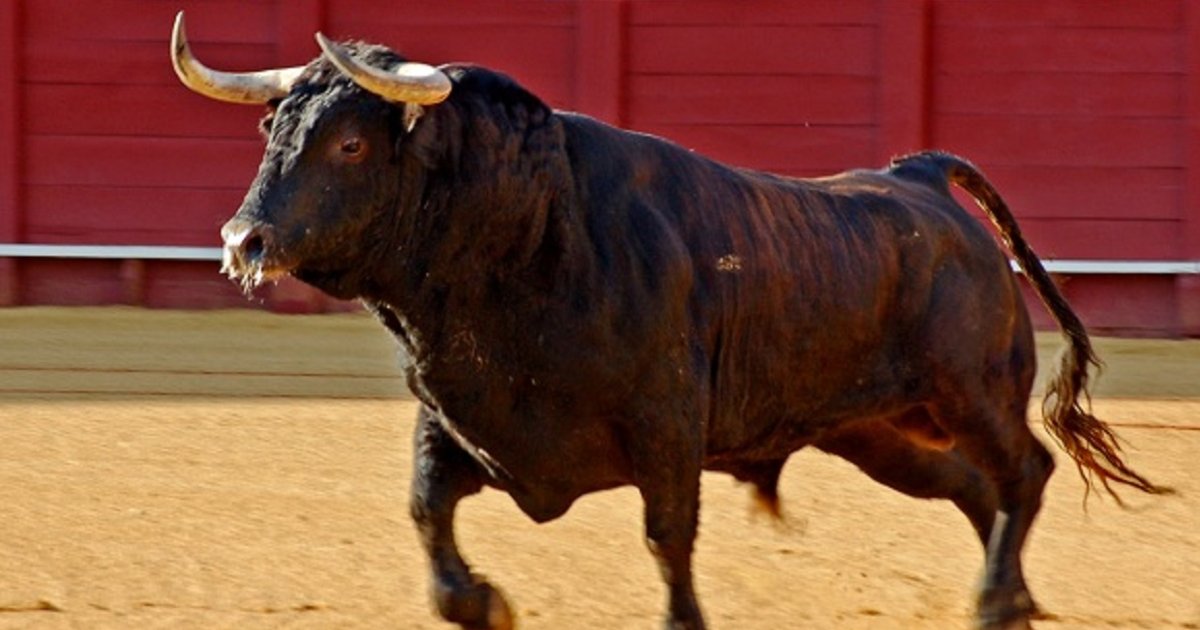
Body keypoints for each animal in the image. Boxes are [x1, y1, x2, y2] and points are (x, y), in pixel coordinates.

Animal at [170, 13, 1165, 630]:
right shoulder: (453, 413)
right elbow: (425, 511)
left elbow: (667, 536)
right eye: (270, 137)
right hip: (877, 432)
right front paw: (485, 602)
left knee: (1024, 471)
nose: (242, 239)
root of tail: (917, 175)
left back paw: (998, 601)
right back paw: (1012, 600)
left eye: (348, 143)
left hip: (971, 393)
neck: (526, 226)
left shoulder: (666, 426)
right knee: (974, 489)